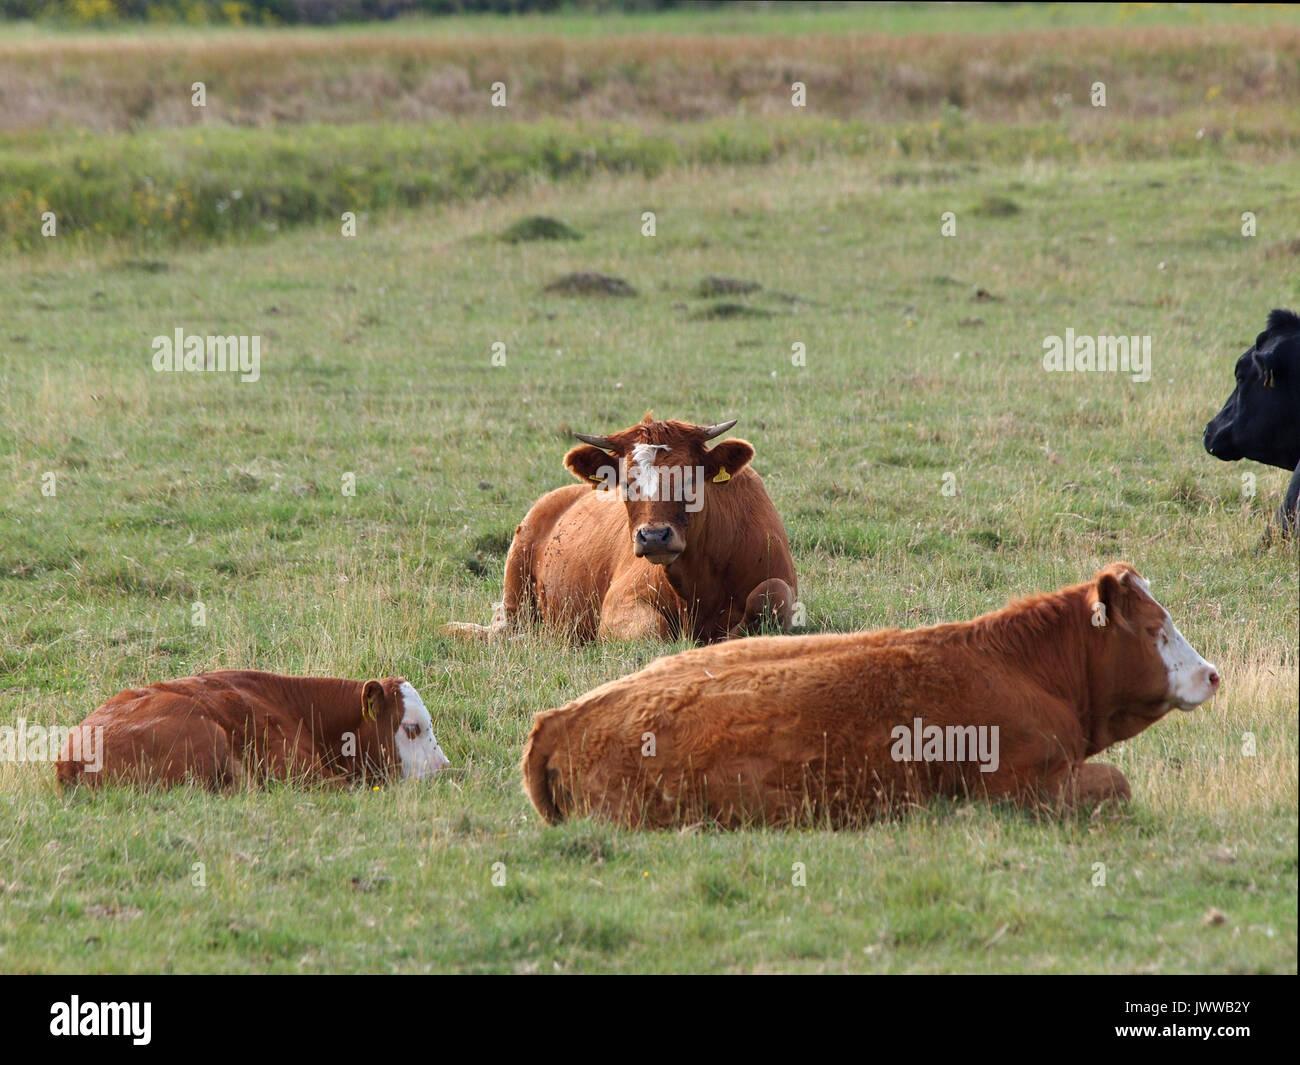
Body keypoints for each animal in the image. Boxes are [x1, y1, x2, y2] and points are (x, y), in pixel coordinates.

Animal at [445, 414, 798, 643]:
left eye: (690, 479)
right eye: (627, 483)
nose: (654, 537)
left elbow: (770, 595)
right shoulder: (619, 605)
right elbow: (652, 631)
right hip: (515, 599)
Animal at [521, 563, 1219, 829]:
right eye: (1155, 630)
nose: (1212, 673)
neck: (1019, 667)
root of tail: (559, 720)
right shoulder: (1024, 784)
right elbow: (1117, 785)